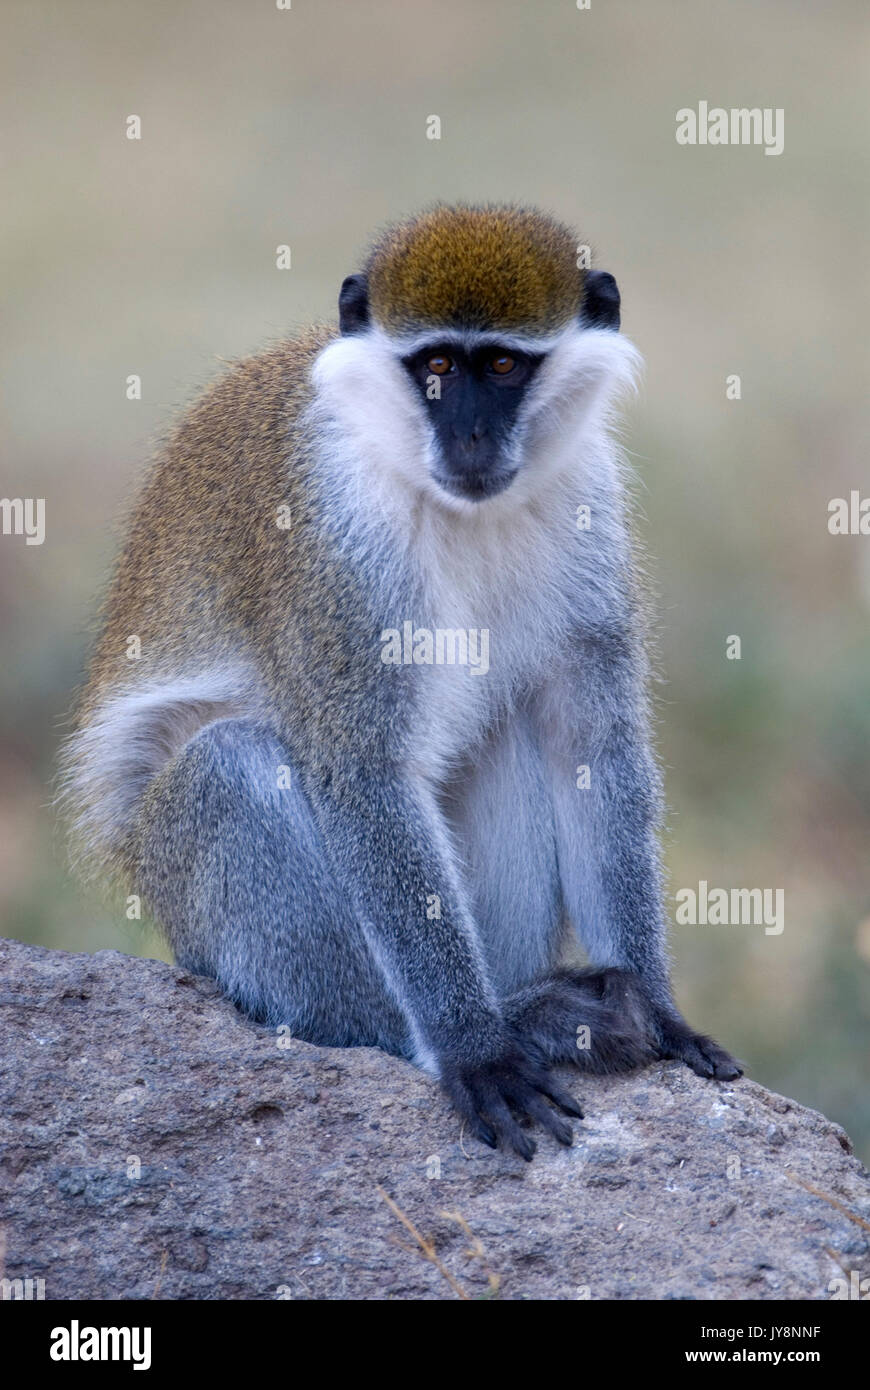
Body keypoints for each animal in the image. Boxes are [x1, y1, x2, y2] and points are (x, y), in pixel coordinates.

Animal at [62, 203, 741, 1161]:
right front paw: (474, 1051)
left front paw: (664, 1010)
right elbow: (364, 775)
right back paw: (502, 1023)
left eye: (501, 366)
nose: (468, 438)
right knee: (229, 765)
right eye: (436, 368)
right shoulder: (335, 546)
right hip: (188, 910)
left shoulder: (590, 503)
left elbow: (590, 751)